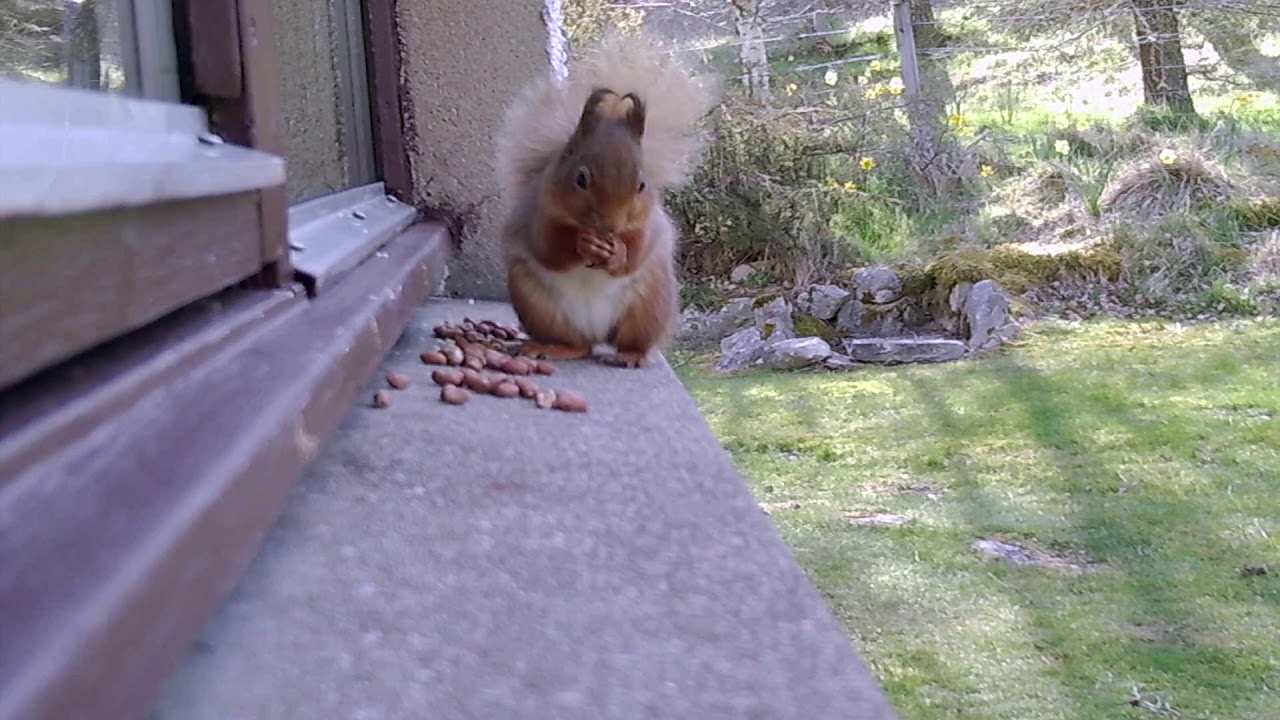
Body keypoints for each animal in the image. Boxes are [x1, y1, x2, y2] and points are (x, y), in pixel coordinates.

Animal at [493, 34, 720, 368]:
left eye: (642, 184)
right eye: (580, 179)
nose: (610, 227)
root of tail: (596, 333)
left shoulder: (648, 225)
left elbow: (635, 252)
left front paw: (617, 253)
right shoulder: (537, 214)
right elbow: (550, 248)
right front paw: (584, 243)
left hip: (649, 307)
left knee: (631, 342)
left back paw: (629, 356)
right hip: (538, 306)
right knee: (578, 345)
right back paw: (554, 348)